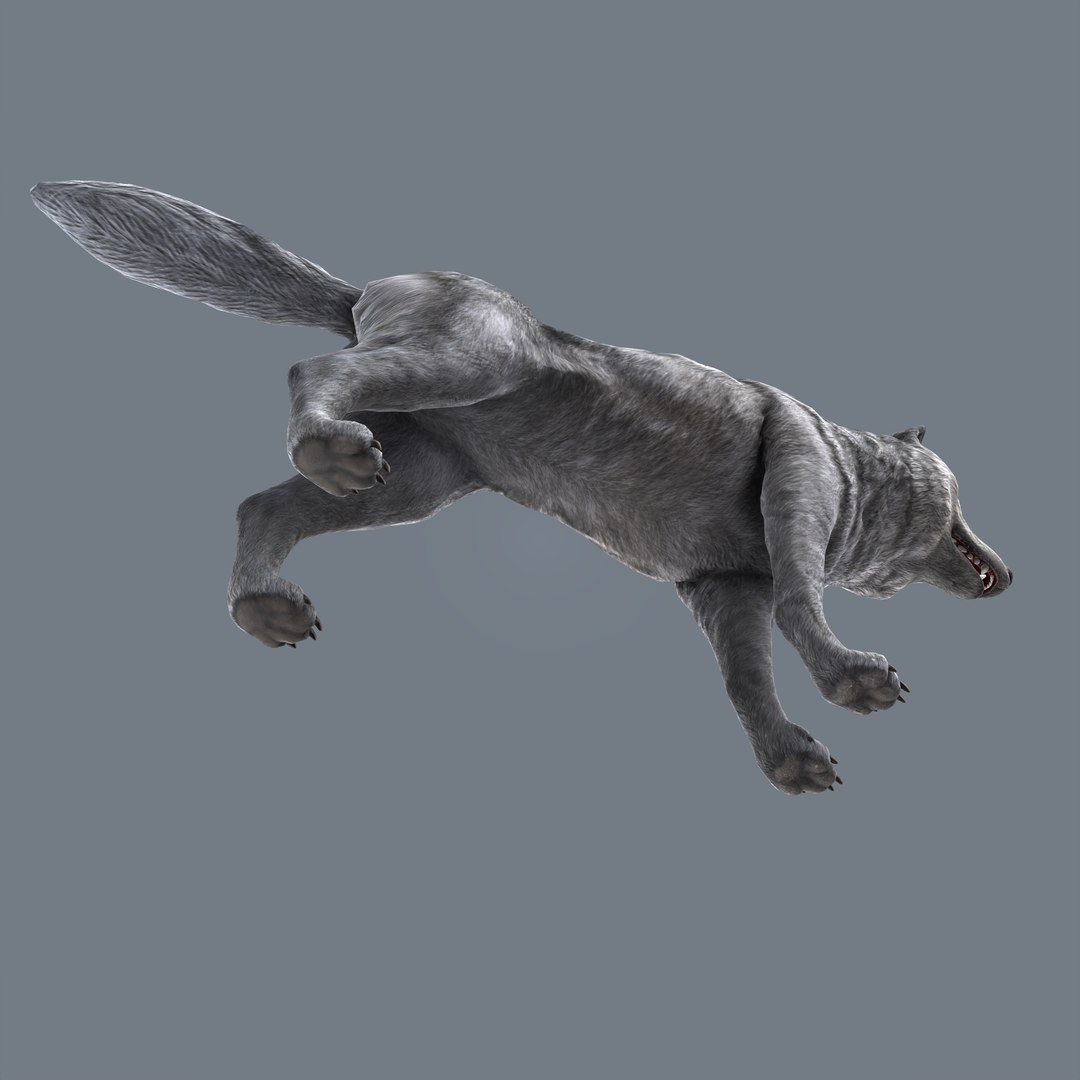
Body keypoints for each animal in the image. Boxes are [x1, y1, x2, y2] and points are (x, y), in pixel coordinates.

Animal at [30, 181, 1013, 795]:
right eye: (958, 497)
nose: (1009, 566)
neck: (854, 477)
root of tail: (367, 290)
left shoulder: (723, 589)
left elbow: (745, 680)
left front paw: (790, 761)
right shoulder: (794, 489)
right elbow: (806, 605)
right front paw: (857, 681)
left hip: (418, 479)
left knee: (260, 501)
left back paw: (268, 606)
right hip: (472, 361)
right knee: (310, 369)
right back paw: (327, 450)